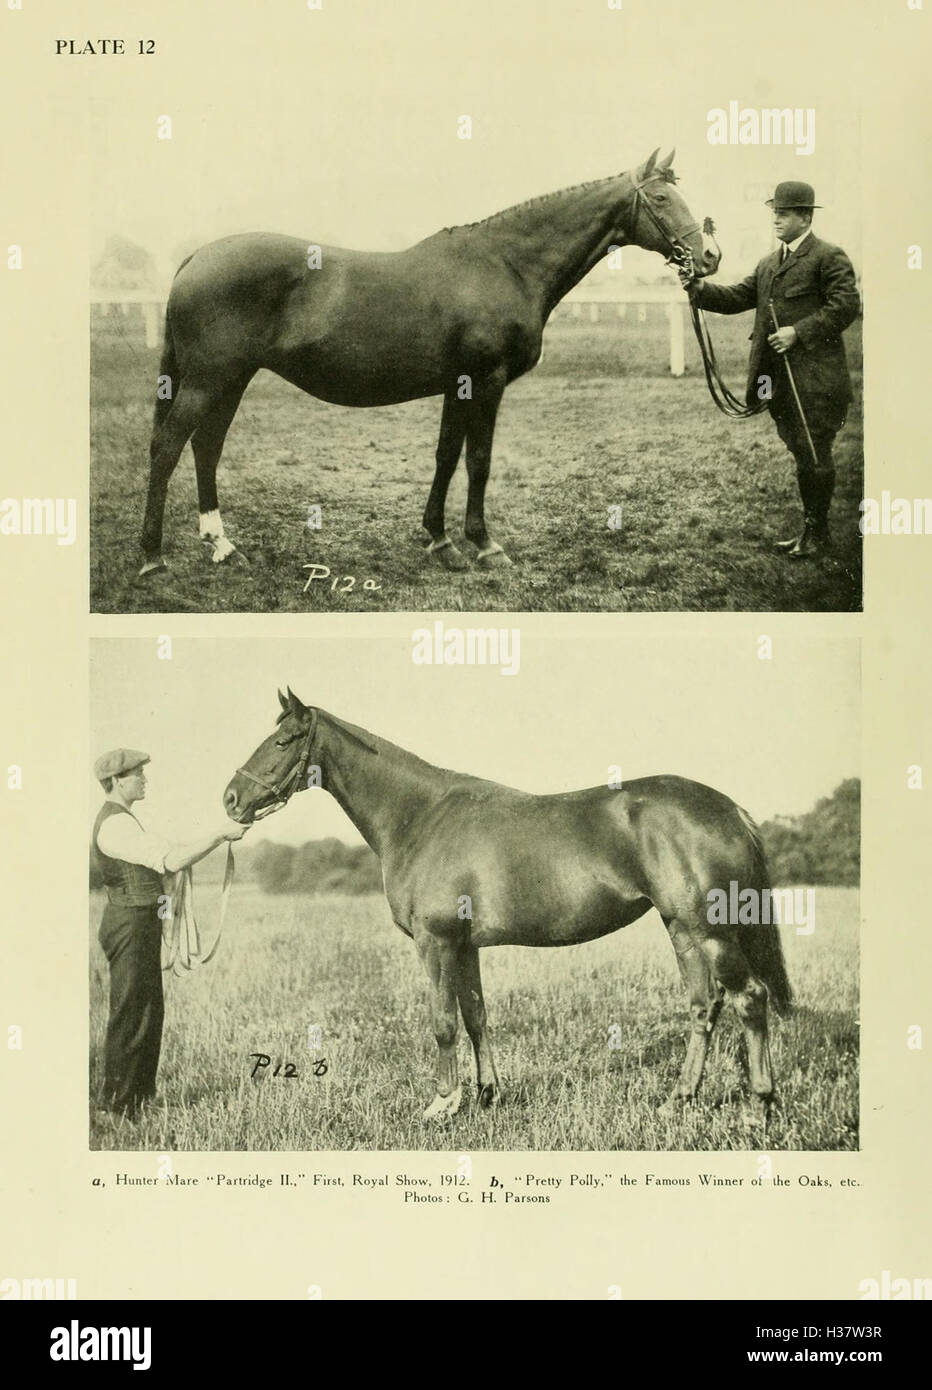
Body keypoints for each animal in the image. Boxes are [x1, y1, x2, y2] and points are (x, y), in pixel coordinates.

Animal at [139, 148, 721, 577]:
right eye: (662, 197)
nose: (710, 257)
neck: (505, 264)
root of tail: (195, 258)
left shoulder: (457, 385)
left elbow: (446, 456)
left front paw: (440, 541)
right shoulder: (486, 382)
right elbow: (479, 460)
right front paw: (485, 545)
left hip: (231, 379)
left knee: (206, 448)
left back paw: (222, 546)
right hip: (209, 380)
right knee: (169, 448)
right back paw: (152, 557)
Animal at [223, 689, 792, 1120]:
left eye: (283, 740)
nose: (230, 799)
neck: (421, 816)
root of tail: (729, 808)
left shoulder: (436, 943)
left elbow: (443, 1021)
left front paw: (443, 1103)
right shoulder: (465, 946)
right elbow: (476, 1015)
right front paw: (487, 1093)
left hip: (712, 931)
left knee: (749, 999)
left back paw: (757, 1108)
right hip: (682, 929)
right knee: (704, 1006)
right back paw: (679, 1099)